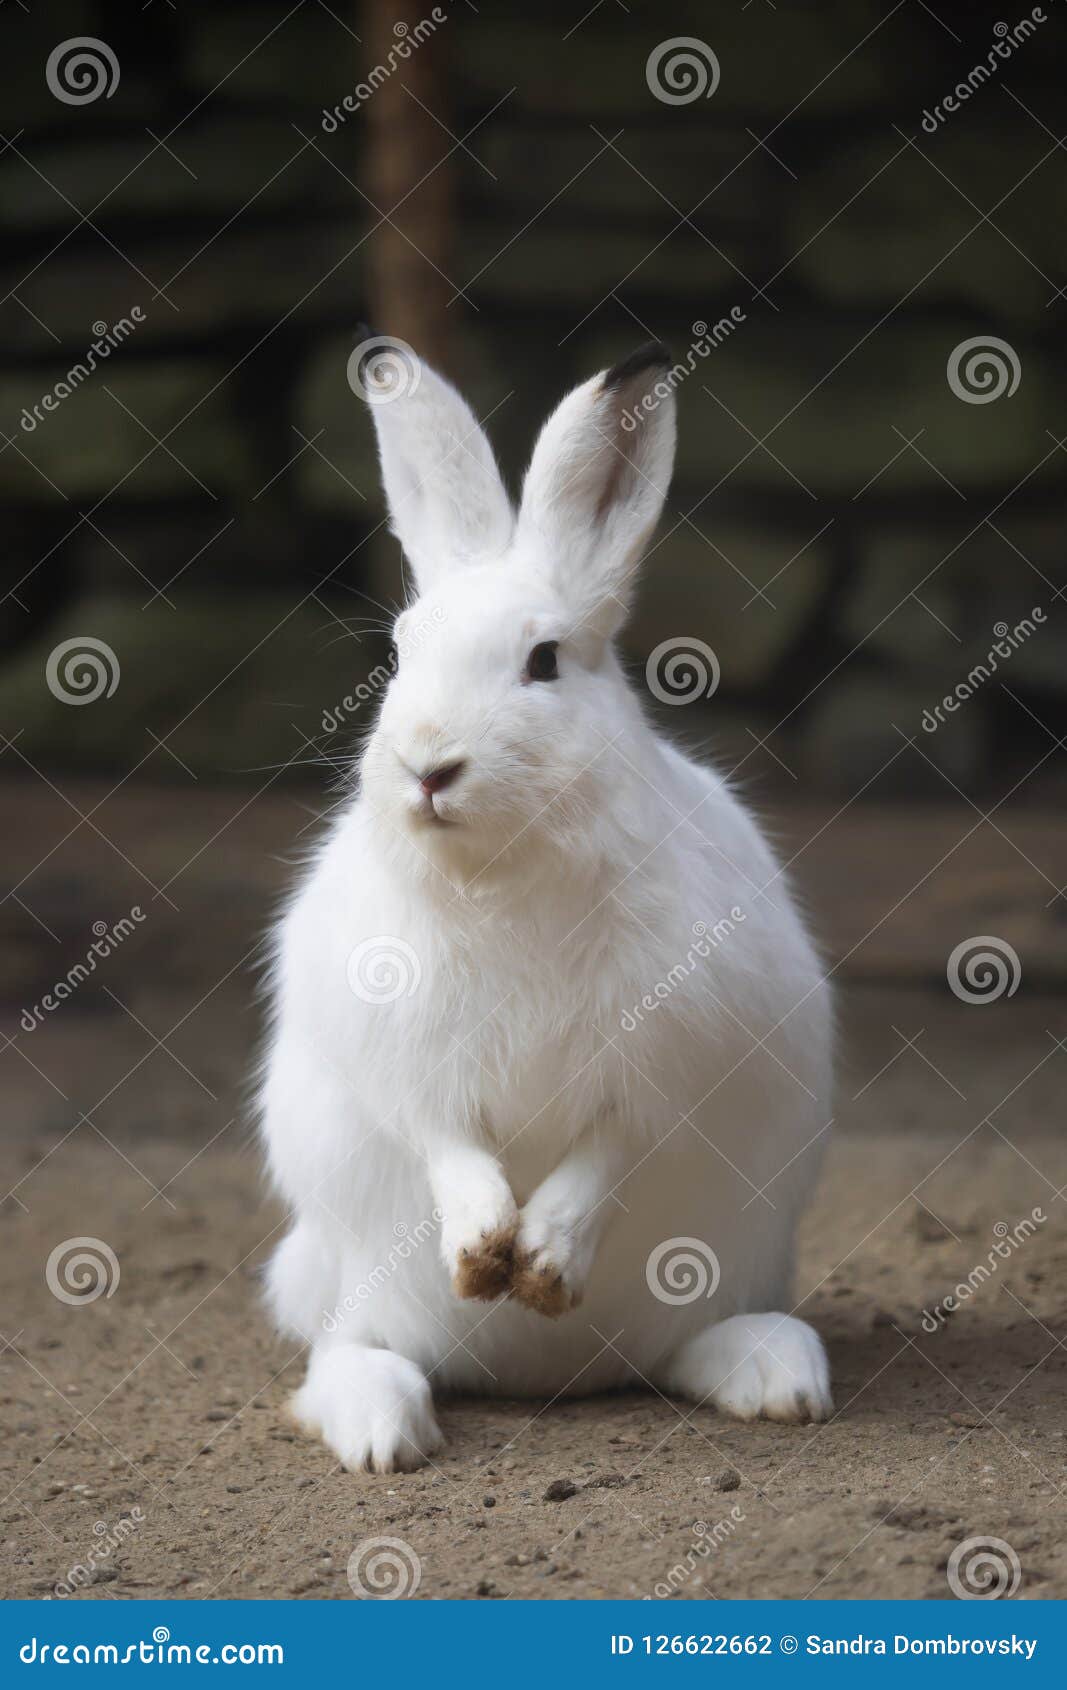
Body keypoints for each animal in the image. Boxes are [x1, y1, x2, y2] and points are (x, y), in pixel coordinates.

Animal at [257, 339, 834, 1474]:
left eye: (543, 662)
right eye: (400, 653)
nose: (428, 765)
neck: (497, 873)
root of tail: (540, 1381)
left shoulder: (666, 1063)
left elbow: (604, 1154)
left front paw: (541, 1260)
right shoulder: (403, 1063)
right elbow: (445, 1142)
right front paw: (485, 1247)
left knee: (692, 1348)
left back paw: (779, 1380)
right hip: (347, 1276)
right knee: (352, 1355)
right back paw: (383, 1432)